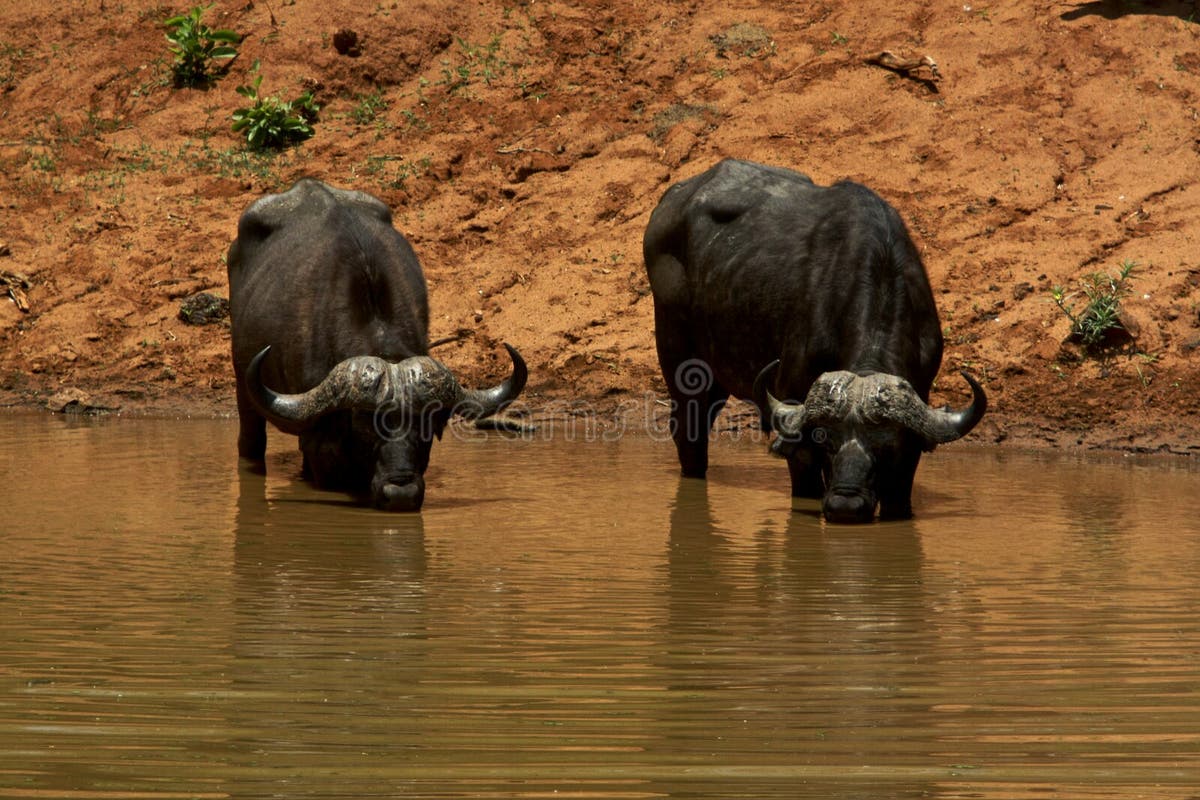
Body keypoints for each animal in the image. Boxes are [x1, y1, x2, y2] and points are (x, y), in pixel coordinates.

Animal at [643, 159, 986, 522]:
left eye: (885, 445)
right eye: (825, 439)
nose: (845, 506)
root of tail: (670, 200)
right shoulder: (798, 429)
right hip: (679, 360)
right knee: (689, 433)